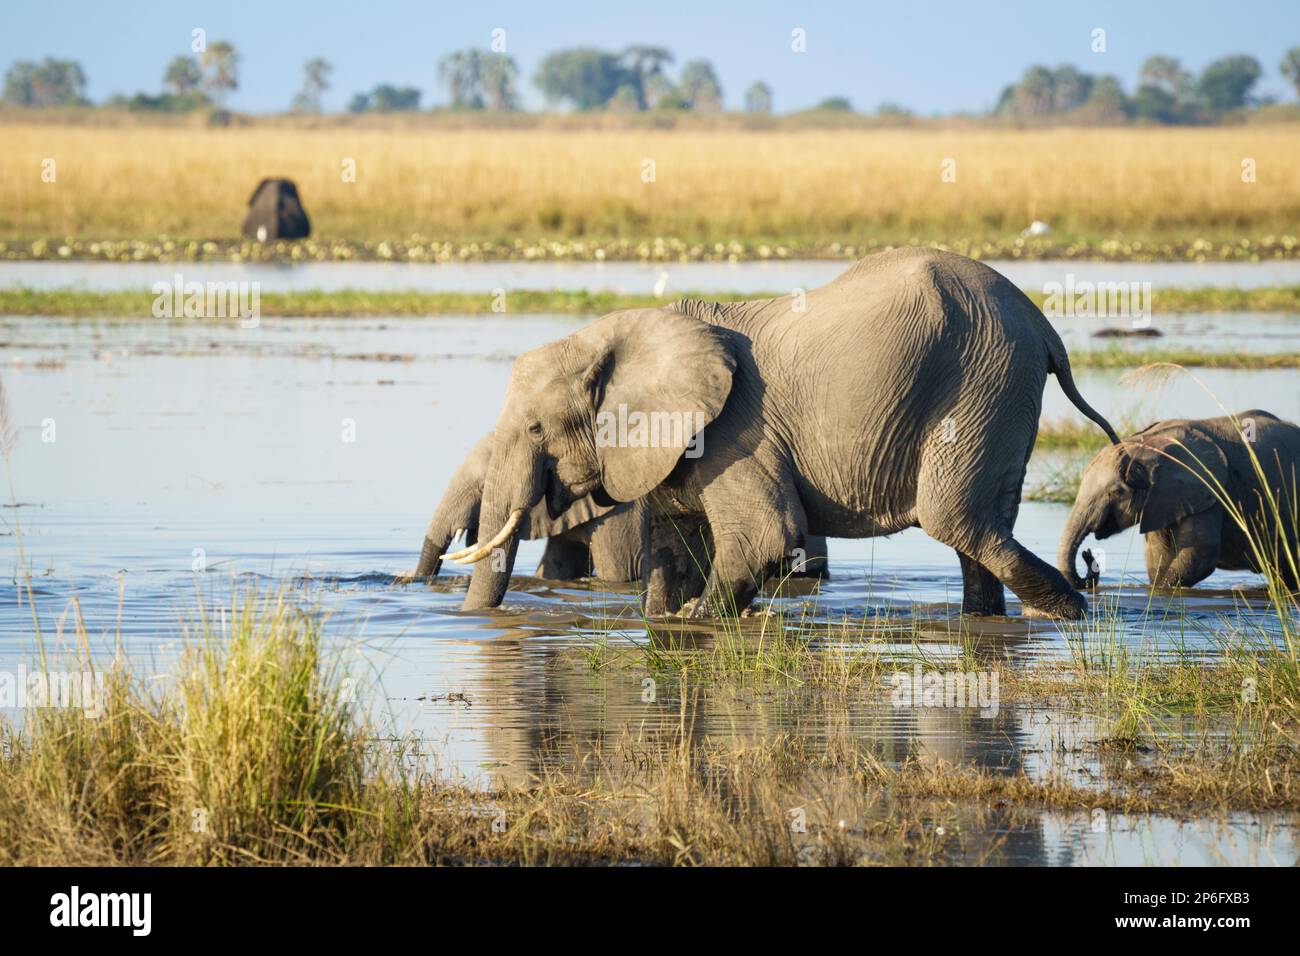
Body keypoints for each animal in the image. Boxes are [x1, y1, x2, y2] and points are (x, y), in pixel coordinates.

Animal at [445, 247, 1117, 619]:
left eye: (536, 426)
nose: (472, 622)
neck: (622, 333)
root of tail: (1043, 324)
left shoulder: (737, 430)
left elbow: (765, 537)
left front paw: (697, 616)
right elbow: (673, 552)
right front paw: (668, 614)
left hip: (982, 379)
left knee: (956, 518)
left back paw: (1071, 612)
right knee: (975, 533)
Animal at [1058, 410, 1300, 589]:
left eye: (1115, 492)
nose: (1088, 554)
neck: (1144, 447)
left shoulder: (1210, 490)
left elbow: (1199, 555)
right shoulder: (1161, 499)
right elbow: (1158, 559)